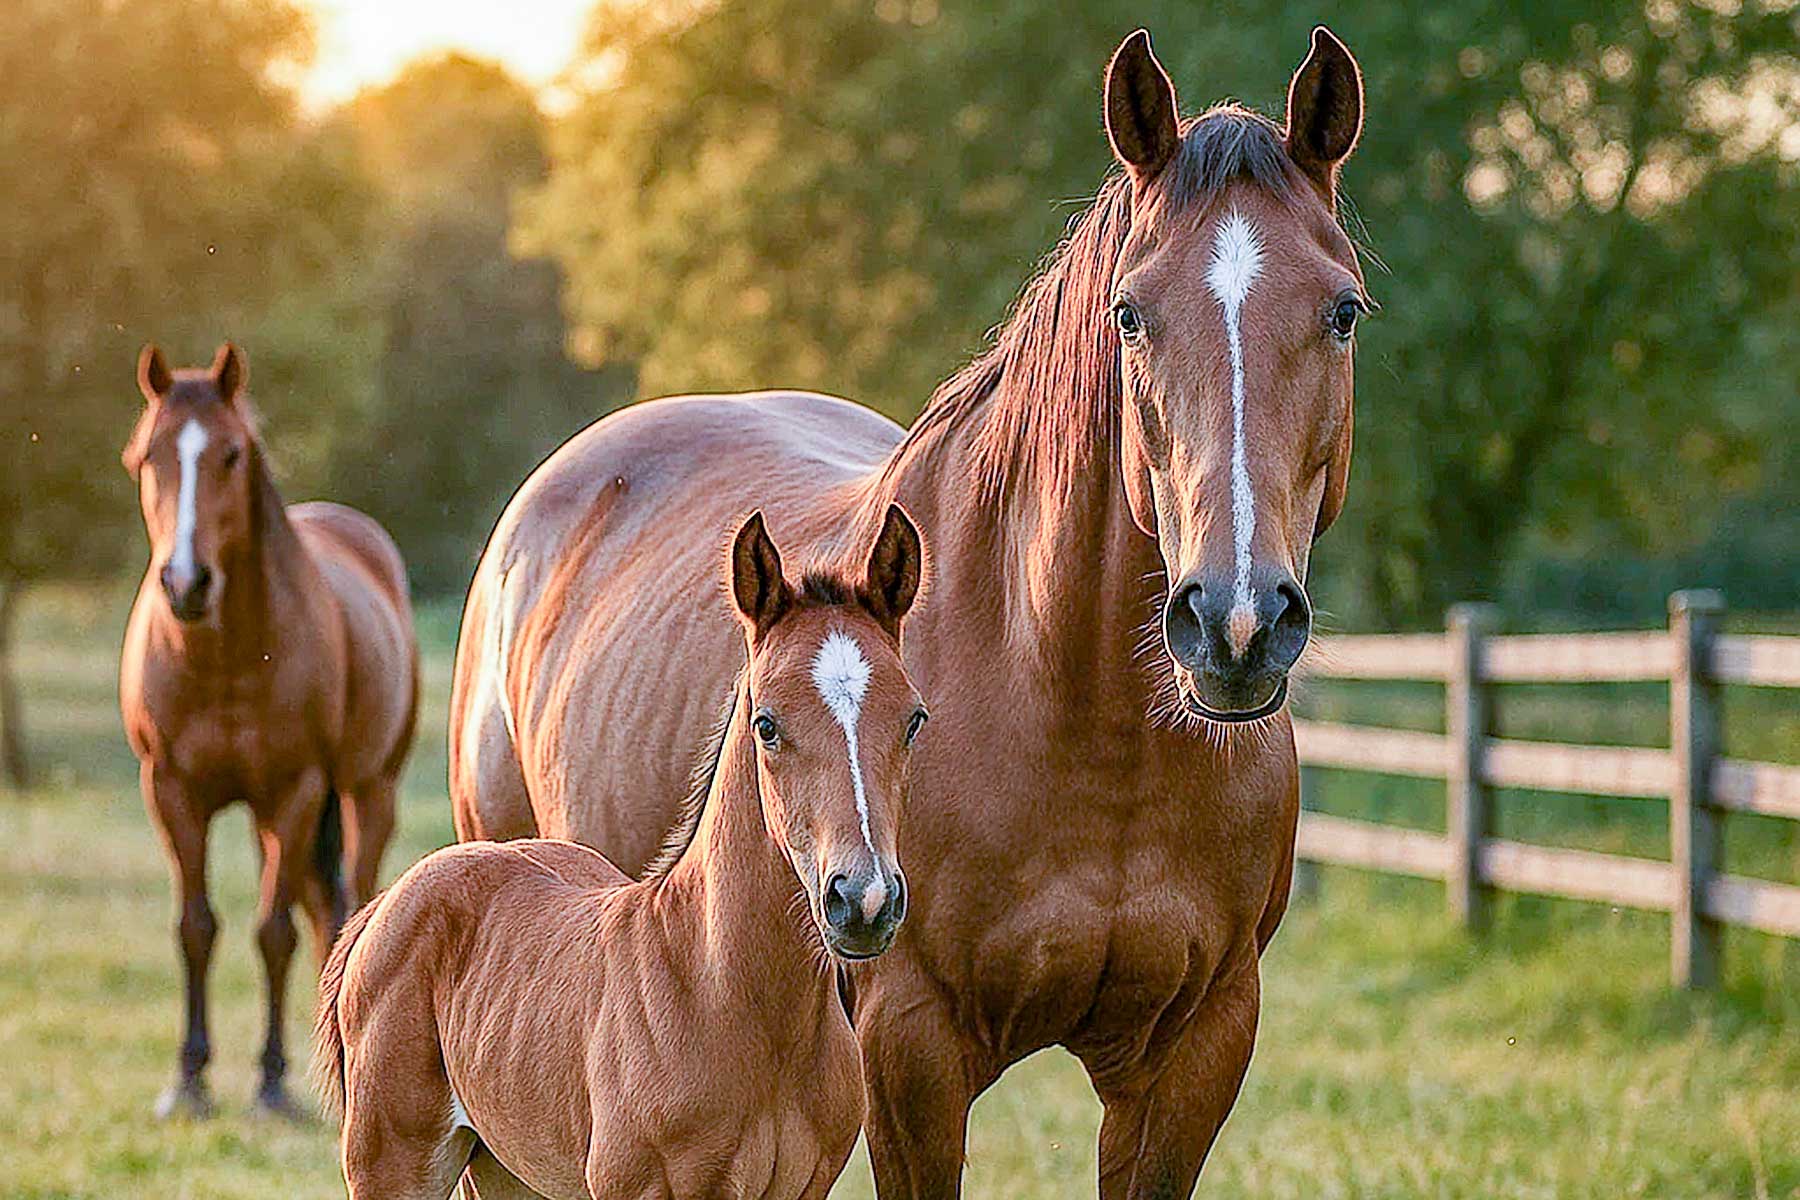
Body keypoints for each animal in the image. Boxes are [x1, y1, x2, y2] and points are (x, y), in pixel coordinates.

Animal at [120, 343, 419, 1118]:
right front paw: (189, 1080)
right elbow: (196, 928)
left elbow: (273, 932)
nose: (185, 583)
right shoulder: (172, 792)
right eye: (148, 455)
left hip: (368, 792)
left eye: (230, 454)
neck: (224, 659)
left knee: (353, 901)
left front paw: (273, 1080)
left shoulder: (296, 790)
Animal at [315, 506, 926, 1200]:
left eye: (913, 719)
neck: (723, 992)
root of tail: (387, 902)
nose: (864, 901)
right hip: (393, 1162)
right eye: (766, 724)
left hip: (505, 1169)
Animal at [449, 27, 1368, 1198]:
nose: (1236, 625)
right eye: (1131, 312)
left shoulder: (1195, 1050)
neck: (1086, 729)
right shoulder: (911, 1049)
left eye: (1342, 310)